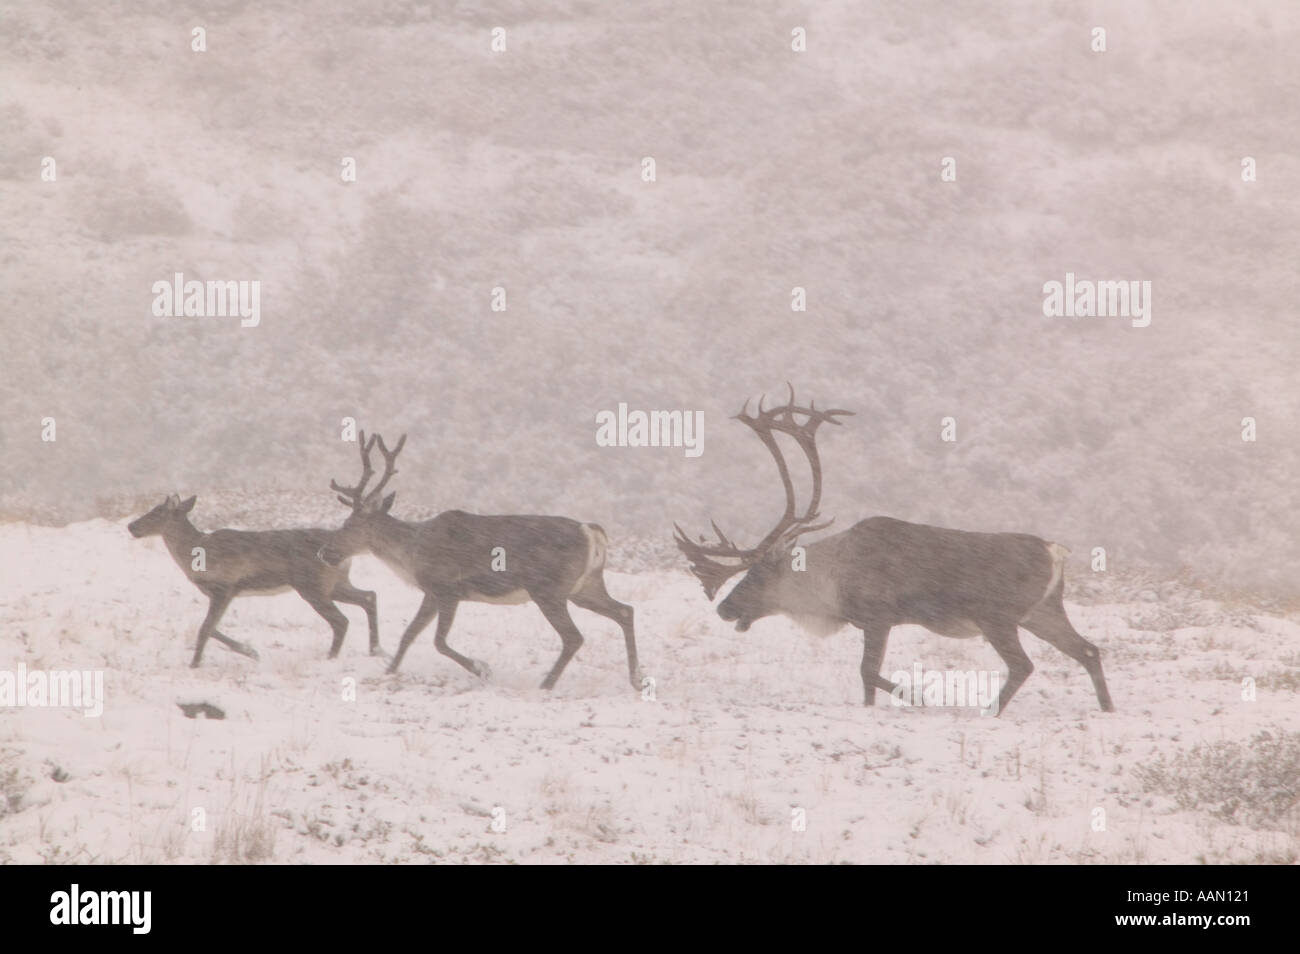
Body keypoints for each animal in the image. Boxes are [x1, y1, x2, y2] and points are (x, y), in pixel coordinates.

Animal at [127, 494, 381, 667]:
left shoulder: (224, 587)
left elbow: (205, 627)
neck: (196, 553)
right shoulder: (222, 593)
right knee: (369, 596)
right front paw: (250, 651)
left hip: (312, 586)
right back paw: (375, 649)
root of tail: (345, 555)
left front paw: (194, 664)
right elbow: (213, 628)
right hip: (336, 584)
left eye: (158, 512)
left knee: (341, 619)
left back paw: (331, 658)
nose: (131, 526)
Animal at [329, 431, 642, 691]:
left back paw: (546, 685)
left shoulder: (447, 589)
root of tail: (591, 531)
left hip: (548, 589)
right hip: (585, 586)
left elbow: (438, 641)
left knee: (574, 636)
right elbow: (410, 633)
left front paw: (482, 669)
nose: (325, 553)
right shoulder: (432, 591)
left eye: (348, 524)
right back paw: (636, 679)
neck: (410, 553)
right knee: (625, 611)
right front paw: (389, 671)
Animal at [674, 389, 1114, 716]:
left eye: (756, 574)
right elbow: (868, 678)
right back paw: (1107, 708)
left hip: (998, 617)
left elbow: (868, 672)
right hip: (1043, 612)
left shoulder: (878, 616)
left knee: (1024, 665)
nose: (724, 608)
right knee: (1088, 650)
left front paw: (921, 696)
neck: (831, 580)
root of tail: (1057, 553)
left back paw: (989, 711)